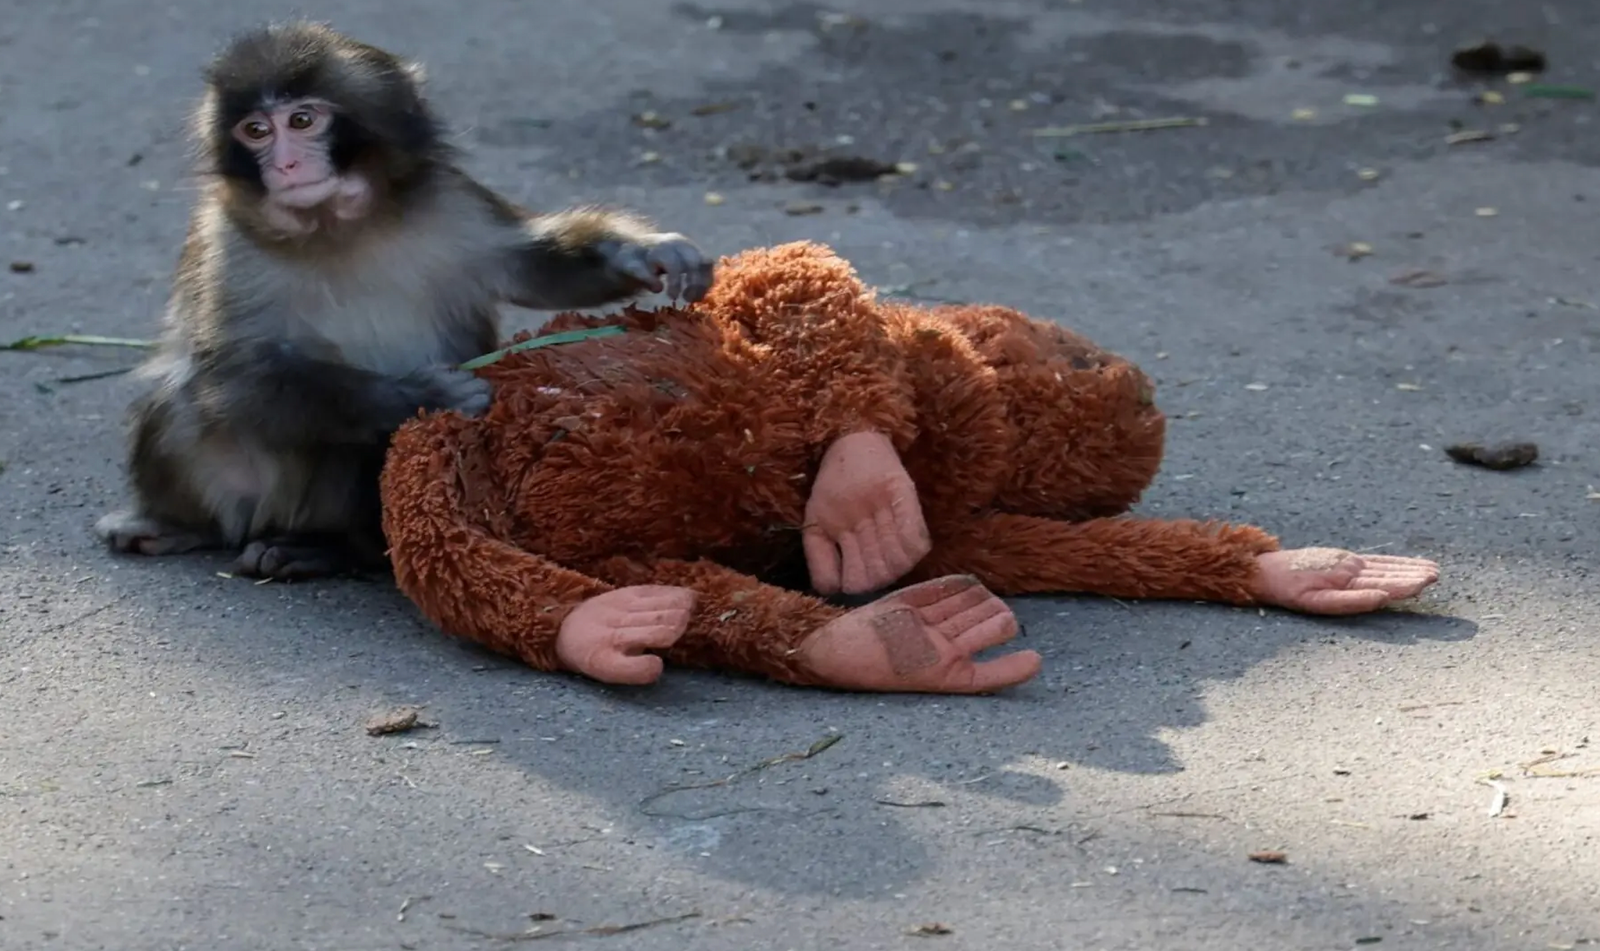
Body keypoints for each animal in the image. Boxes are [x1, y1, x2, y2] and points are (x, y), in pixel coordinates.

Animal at [94, 20, 716, 581]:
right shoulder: (225, 242)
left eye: (302, 120)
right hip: (248, 492)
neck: (338, 228)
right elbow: (231, 374)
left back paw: (328, 550)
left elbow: (534, 268)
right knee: (179, 401)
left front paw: (643, 252)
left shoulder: (450, 201)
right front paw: (424, 393)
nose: (287, 165)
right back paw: (186, 525)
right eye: (255, 131)